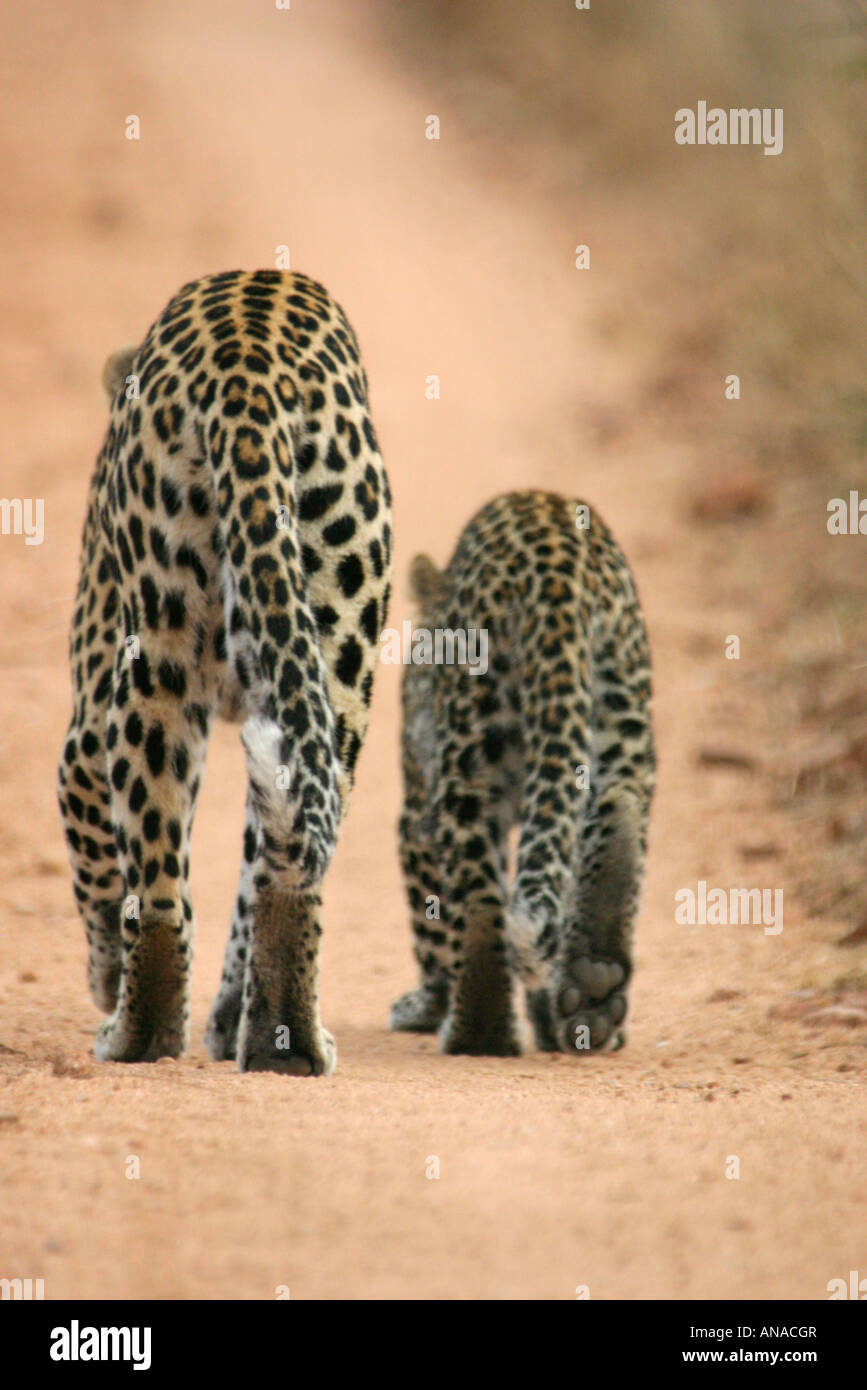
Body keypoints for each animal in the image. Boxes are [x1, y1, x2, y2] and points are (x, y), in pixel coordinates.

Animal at [57, 269, 392, 1076]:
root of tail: (249, 372)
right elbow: (247, 868)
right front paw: (229, 1014)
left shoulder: (80, 741)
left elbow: (96, 859)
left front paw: (105, 976)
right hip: (337, 648)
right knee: (285, 864)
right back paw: (282, 1039)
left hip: (151, 657)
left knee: (156, 883)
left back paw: (135, 1031)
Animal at [390, 490, 655, 1057]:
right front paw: (557, 1014)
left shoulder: (414, 819)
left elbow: (432, 925)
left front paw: (426, 1005)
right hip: (623, 718)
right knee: (620, 807)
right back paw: (595, 979)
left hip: (467, 764)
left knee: (480, 903)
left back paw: (477, 1033)